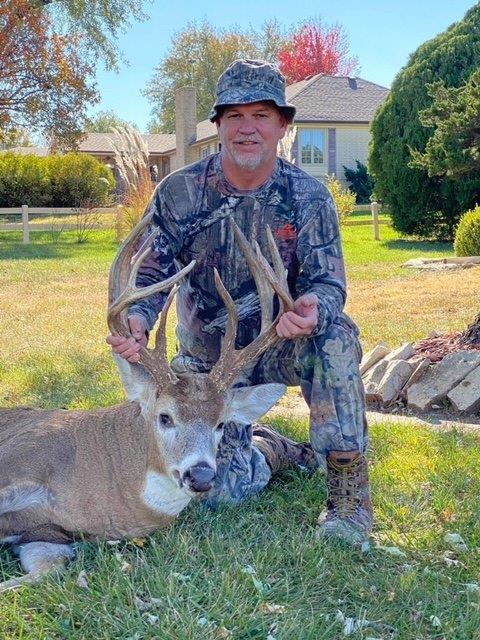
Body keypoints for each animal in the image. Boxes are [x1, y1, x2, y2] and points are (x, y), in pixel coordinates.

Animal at [0, 214, 294, 593]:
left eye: (219, 424)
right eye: (165, 417)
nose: (201, 475)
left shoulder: (48, 536)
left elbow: (46, 570)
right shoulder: (22, 453)